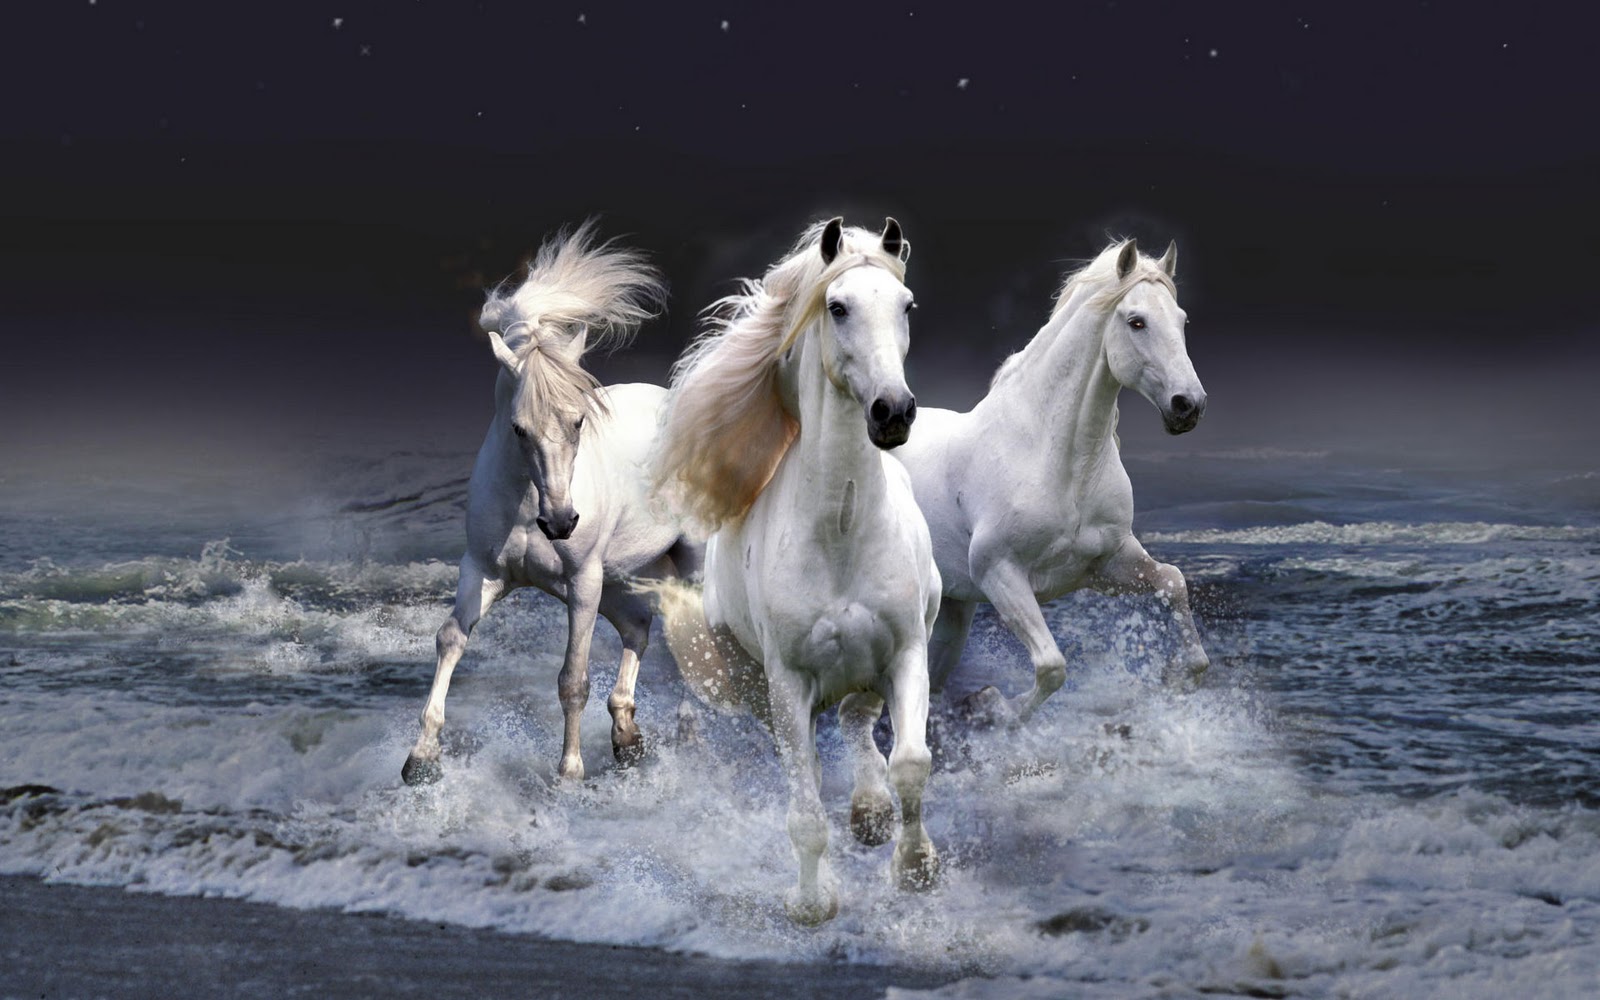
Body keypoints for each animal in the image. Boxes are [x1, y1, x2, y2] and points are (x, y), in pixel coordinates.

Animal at [401, 222, 700, 786]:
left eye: (579, 420)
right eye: (519, 428)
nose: (561, 522)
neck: (526, 505)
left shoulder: (581, 581)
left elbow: (572, 678)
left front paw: (569, 774)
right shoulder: (484, 571)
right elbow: (450, 638)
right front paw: (420, 759)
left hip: (682, 564)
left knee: (694, 637)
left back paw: (686, 731)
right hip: (621, 576)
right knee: (639, 627)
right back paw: (627, 737)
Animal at [647, 217, 941, 925]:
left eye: (906, 306)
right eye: (837, 307)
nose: (893, 412)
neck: (841, 531)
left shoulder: (906, 651)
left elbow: (911, 762)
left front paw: (916, 868)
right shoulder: (787, 683)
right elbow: (805, 810)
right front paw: (812, 904)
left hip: (869, 666)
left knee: (859, 722)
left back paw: (871, 813)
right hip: (758, 686)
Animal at [892, 239, 1210, 723]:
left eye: (1182, 320)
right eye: (1136, 321)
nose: (1188, 405)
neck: (1057, 463)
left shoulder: (1106, 564)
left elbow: (1173, 583)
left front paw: (1174, 679)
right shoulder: (999, 573)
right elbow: (1051, 666)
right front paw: (993, 707)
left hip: (953, 611)